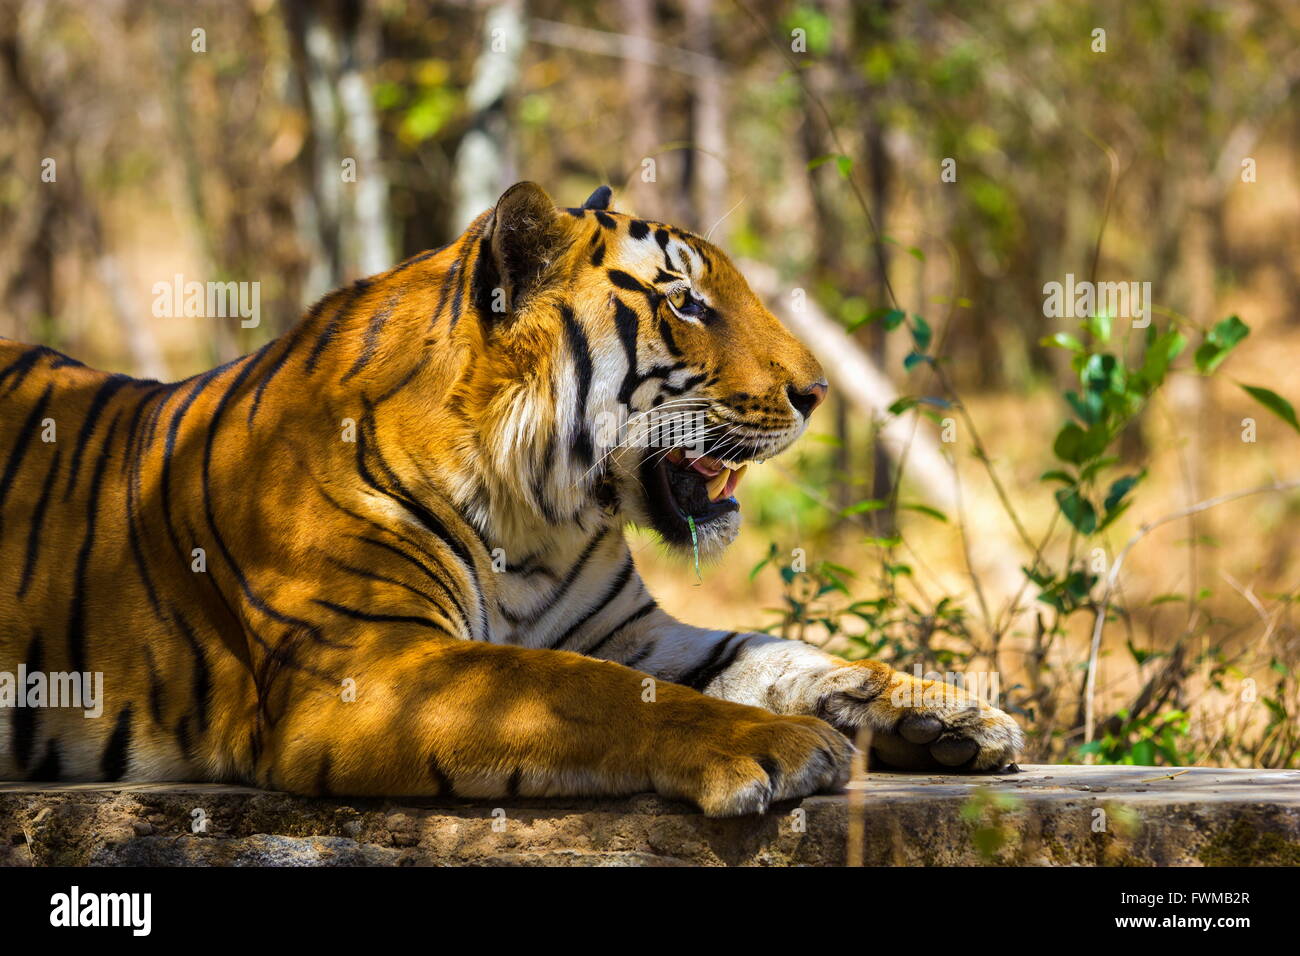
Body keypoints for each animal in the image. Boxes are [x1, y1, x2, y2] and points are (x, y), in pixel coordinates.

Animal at [0, 181, 1022, 816]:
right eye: (686, 303)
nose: (815, 391)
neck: (542, 520)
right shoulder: (364, 660)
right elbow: (585, 689)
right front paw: (782, 746)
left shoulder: (632, 631)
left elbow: (781, 654)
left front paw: (948, 716)